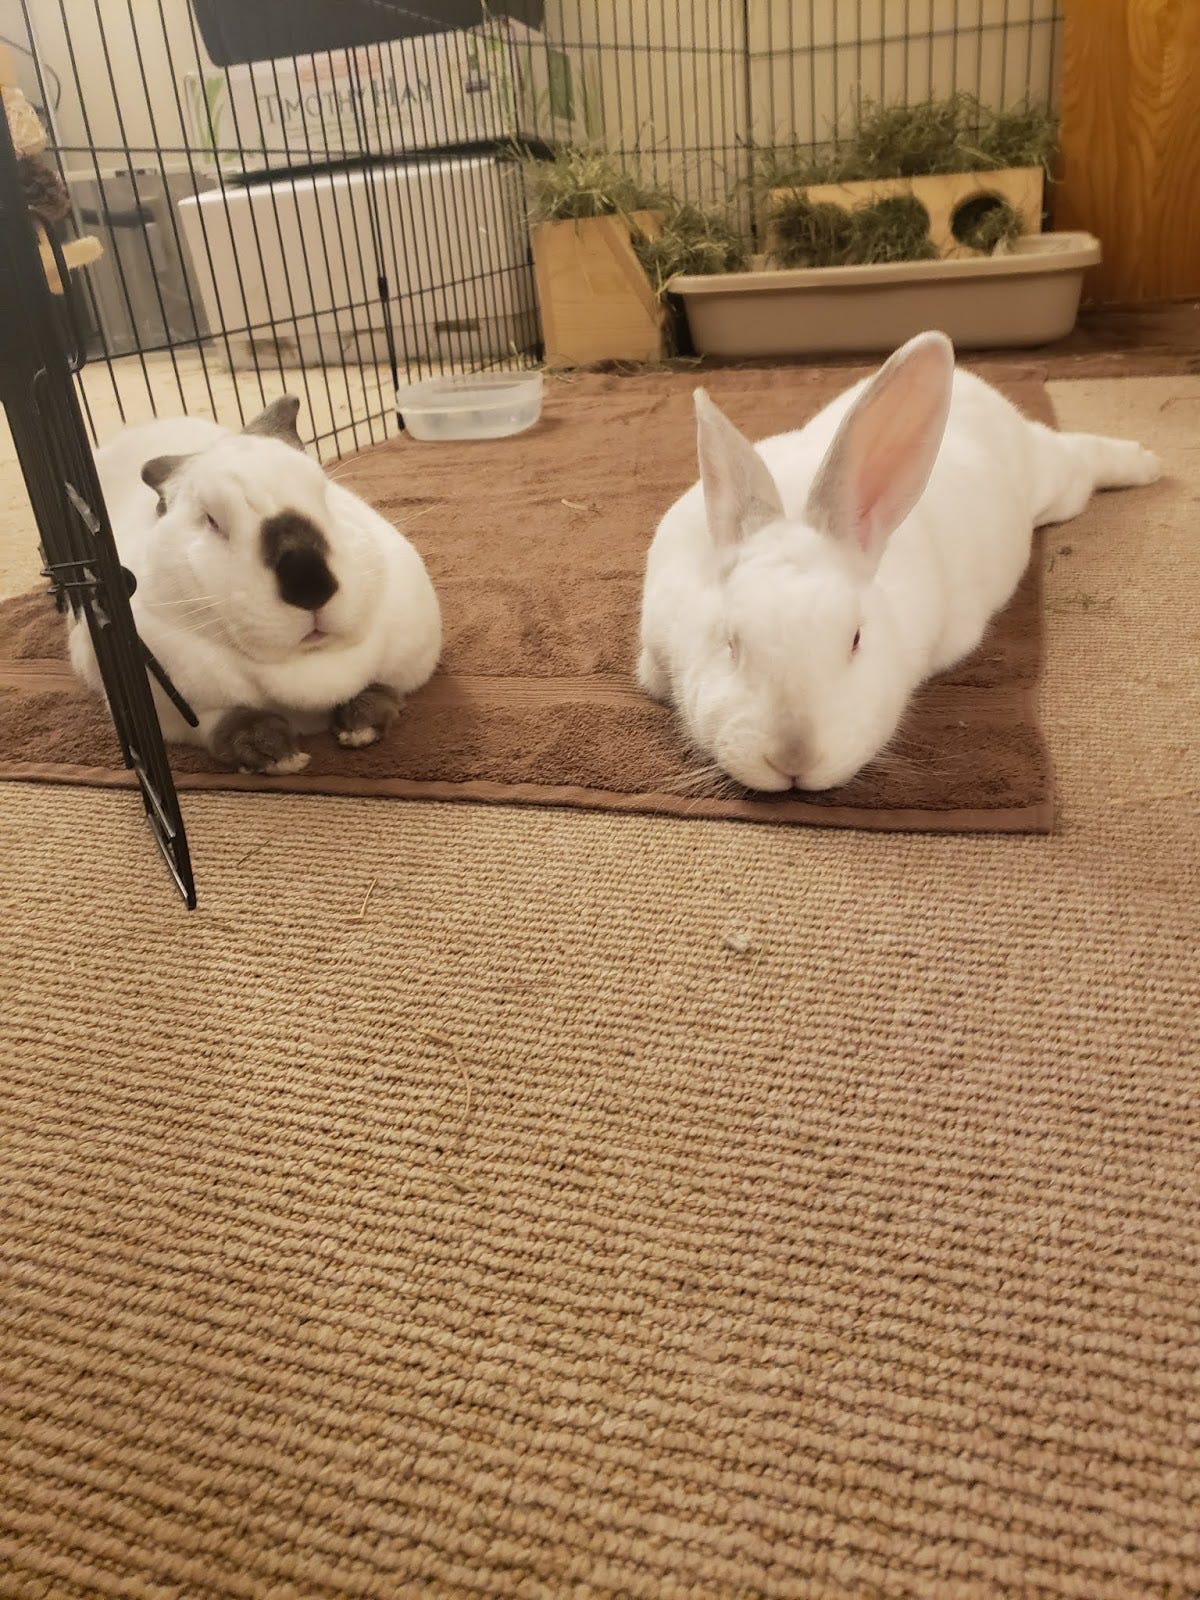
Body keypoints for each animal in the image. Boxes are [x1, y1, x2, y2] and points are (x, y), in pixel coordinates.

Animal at [69, 397, 442, 774]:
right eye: (212, 520)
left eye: (324, 492)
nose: (311, 585)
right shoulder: (168, 707)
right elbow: (221, 721)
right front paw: (275, 752)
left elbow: (381, 686)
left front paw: (361, 725)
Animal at [638, 331, 1161, 793]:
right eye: (730, 644)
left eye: (856, 639)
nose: (794, 759)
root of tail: (982, 390)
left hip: (1058, 486)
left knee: (1081, 458)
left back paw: (1147, 463)